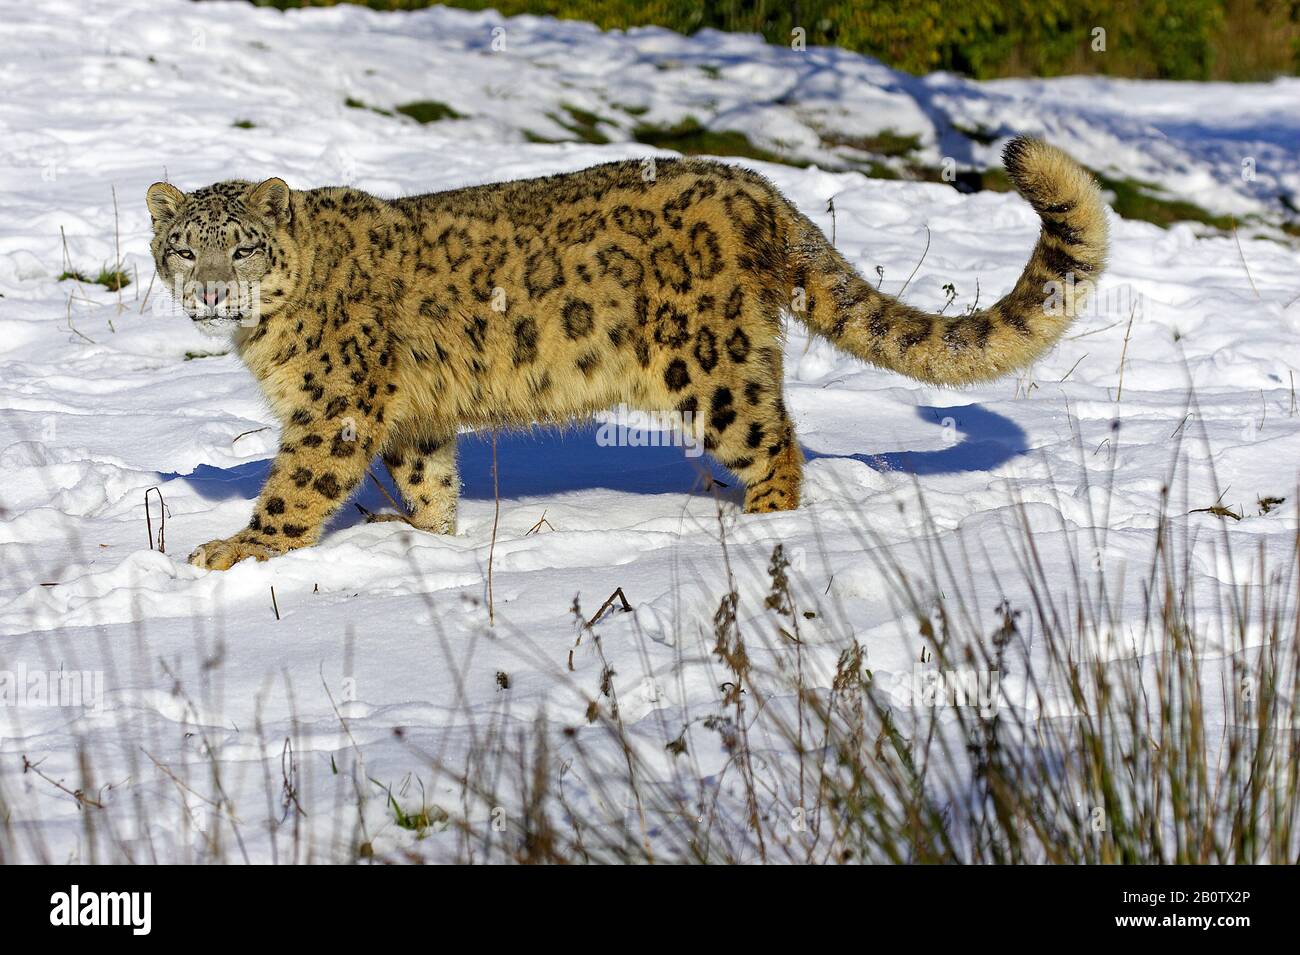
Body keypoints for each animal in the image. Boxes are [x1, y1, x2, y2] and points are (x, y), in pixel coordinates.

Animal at [145, 137, 1107, 570]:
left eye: (242, 248)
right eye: (185, 249)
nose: (211, 293)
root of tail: (754, 186)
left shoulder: (335, 404)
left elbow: (297, 485)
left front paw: (233, 551)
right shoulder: (415, 415)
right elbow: (429, 480)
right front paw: (429, 540)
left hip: (711, 367)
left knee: (776, 440)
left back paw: (762, 525)